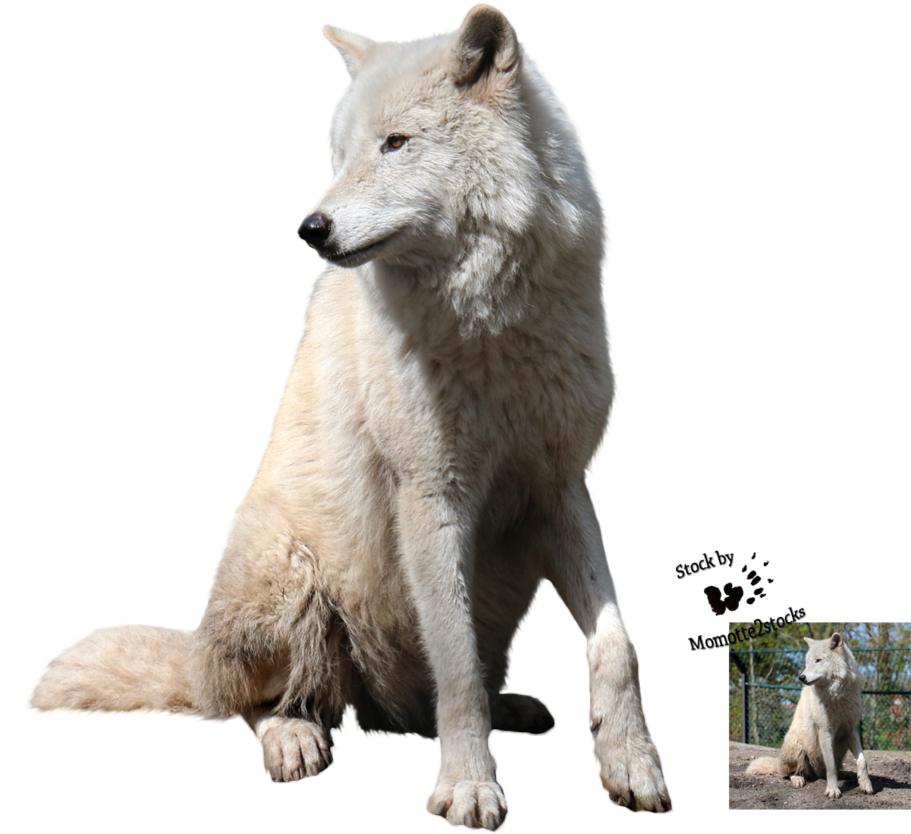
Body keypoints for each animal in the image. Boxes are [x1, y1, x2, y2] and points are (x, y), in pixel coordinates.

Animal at [23, 5, 672, 828]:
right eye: (338, 153)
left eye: (395, 144)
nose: (311, 228)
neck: (491, 325)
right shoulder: (430, 494)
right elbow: (454, 661)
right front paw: (468, 787)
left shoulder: (560, 489)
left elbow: (615, 646)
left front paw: (633, 768)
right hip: (285, 577)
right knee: (254, 704)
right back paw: (297, 740)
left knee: (431, 695)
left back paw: (509, 710)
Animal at [747, 633, 874, 799]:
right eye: (807, 663)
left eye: (818, 660)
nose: (801, 677)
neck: (837, 696)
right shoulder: (825, 731)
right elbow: (831, 766)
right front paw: (833, 790)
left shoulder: (850, 730)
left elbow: (862, 761)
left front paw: (866, 785)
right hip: (796, 746)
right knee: (788, 774)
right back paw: (798, 779)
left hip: (840, 750)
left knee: (829, 769)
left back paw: (843, 773)